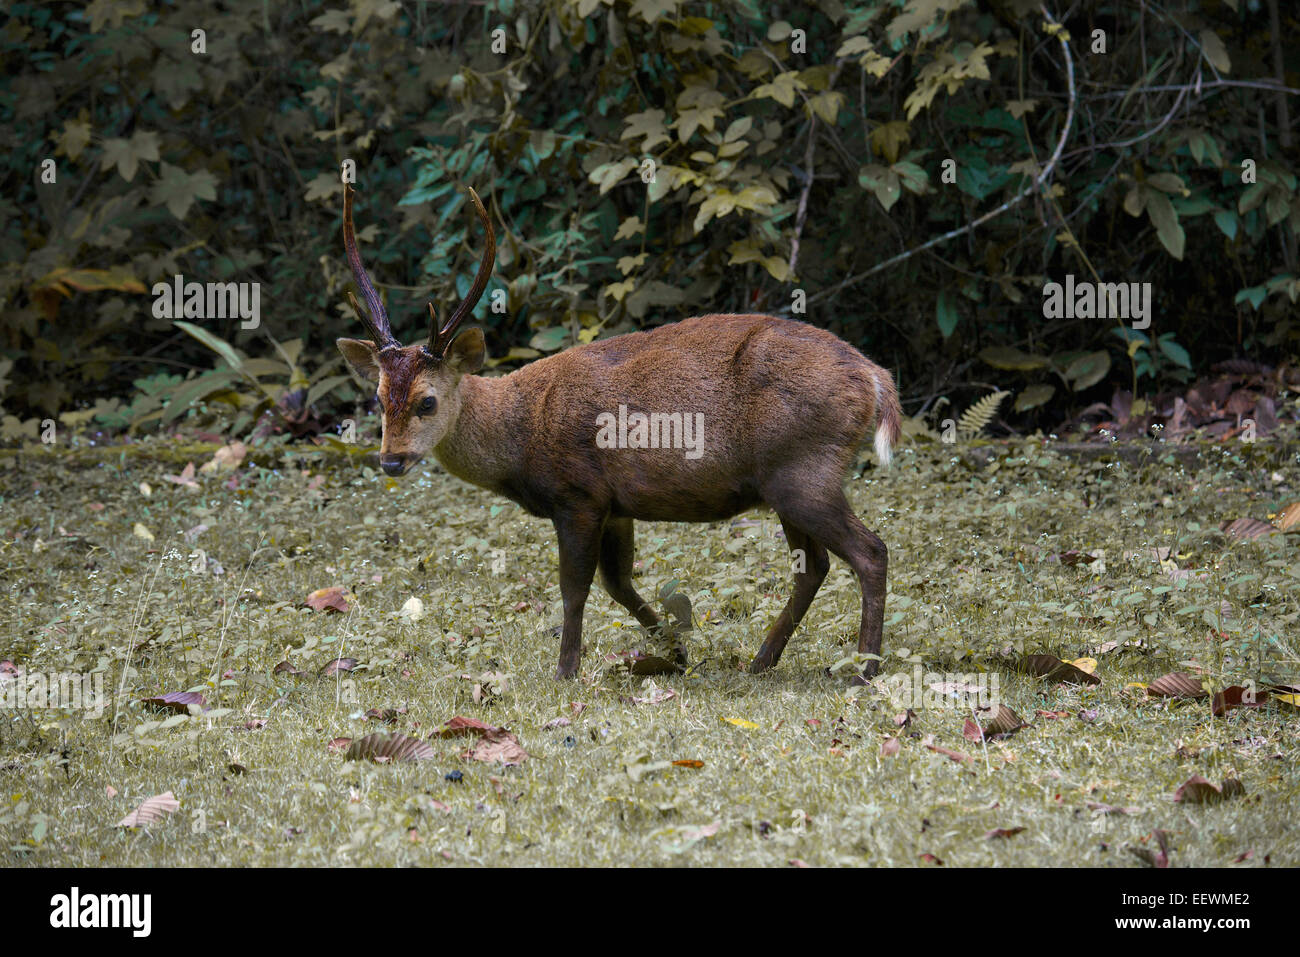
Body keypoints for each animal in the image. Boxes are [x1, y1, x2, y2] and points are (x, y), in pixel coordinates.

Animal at [336, 185, 902, 683]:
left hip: (804, 470)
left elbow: (575, 589)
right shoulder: (617, 505)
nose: (390, 461)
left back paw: (864, 672)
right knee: (815, 566)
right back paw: (762, 663)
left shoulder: (578, 494)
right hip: (789, 481)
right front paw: (676, 652)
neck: (519, 437)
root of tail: (875, 378)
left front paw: (565, 671)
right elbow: (619, 583)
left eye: (427, 401)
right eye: (379, 398)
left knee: (870, 552)